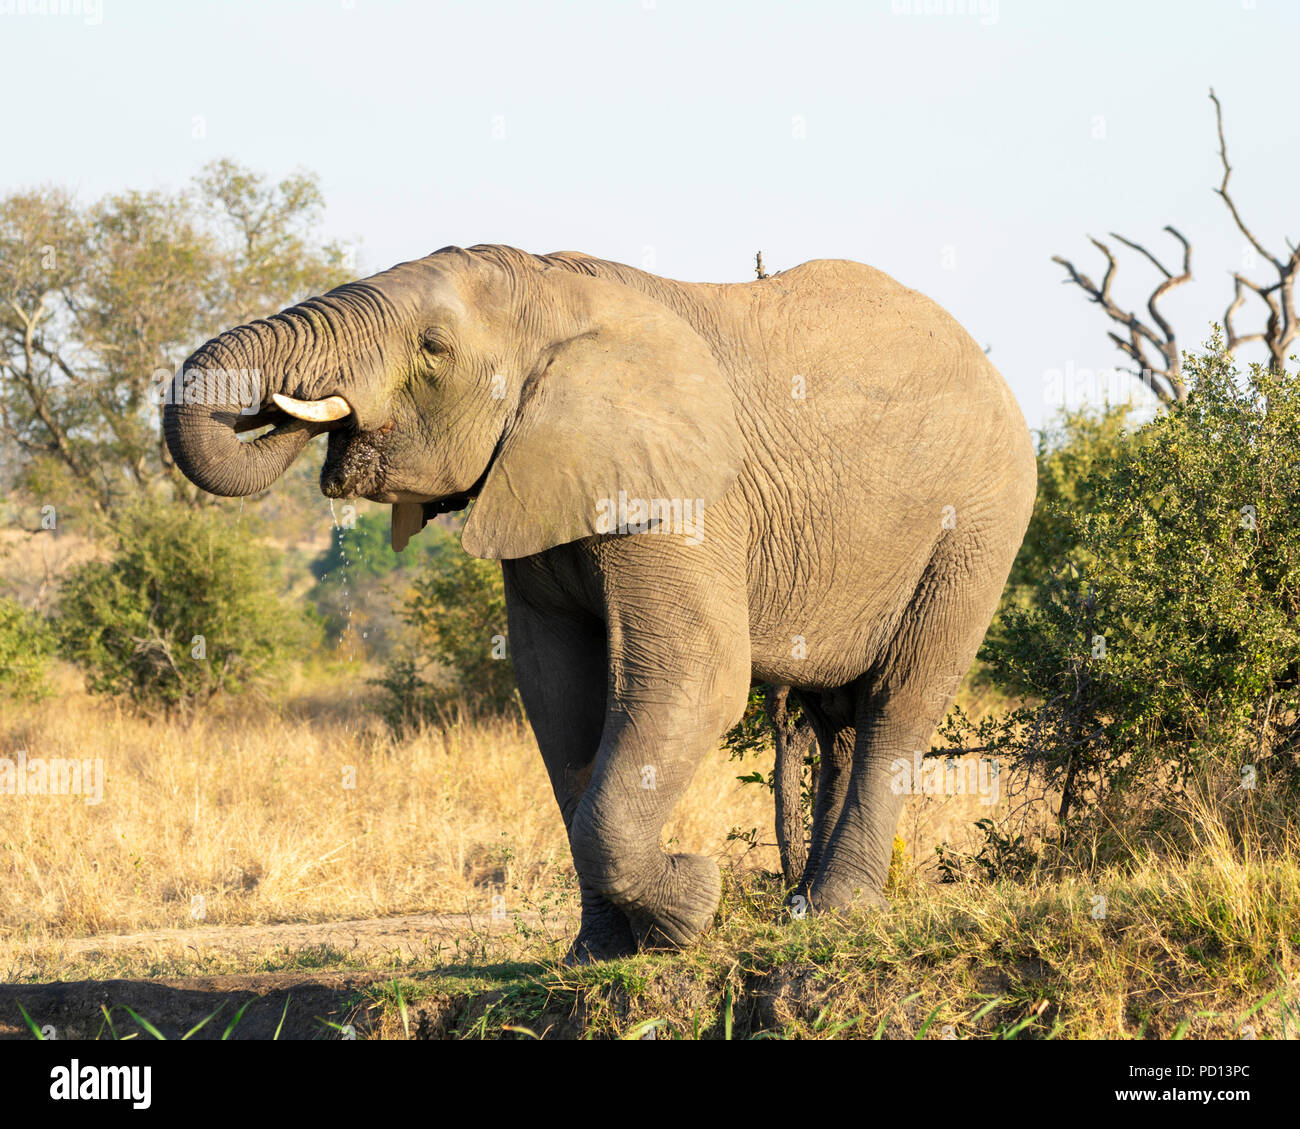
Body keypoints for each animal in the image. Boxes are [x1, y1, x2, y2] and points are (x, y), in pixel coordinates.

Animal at [164, 244, 1036, 960]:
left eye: (433, 348)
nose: (291, 415)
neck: (553, 292)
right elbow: (557, 695)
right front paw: (601, 952)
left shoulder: (685, 495)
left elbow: (696, 677)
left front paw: (692, 901)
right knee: (839, 721)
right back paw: (801, 908)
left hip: (978, 526)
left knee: (898, 703)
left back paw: (835, 915)